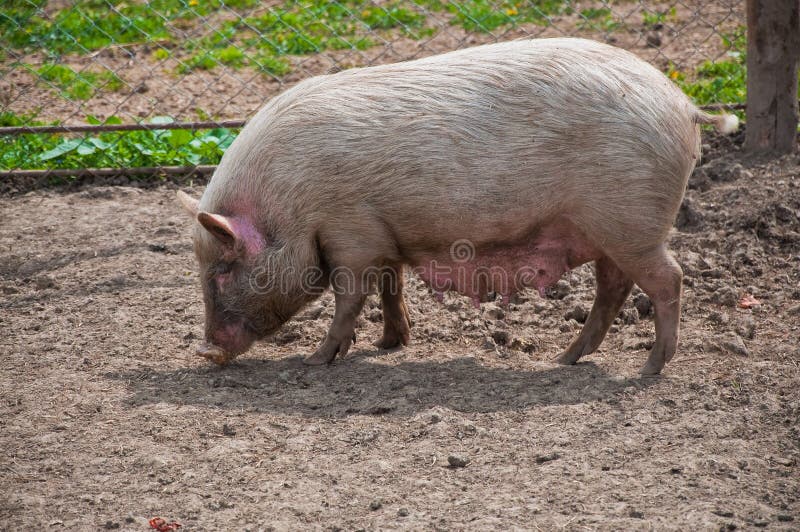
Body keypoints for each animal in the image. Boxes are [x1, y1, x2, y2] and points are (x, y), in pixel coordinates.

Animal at [178, 37, 738, 375]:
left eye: (223, 270)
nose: (205, 350)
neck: (289, 205)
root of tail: (684, 105)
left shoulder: (350, 230)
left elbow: (351, 296)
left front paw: (316, 361)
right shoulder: (383, 235)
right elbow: (392, 286)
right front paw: (390, 345)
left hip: (632, 222)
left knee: (668, 279)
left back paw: (649, 367)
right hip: (609, 231)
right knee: (613, 288)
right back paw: (565, 360)